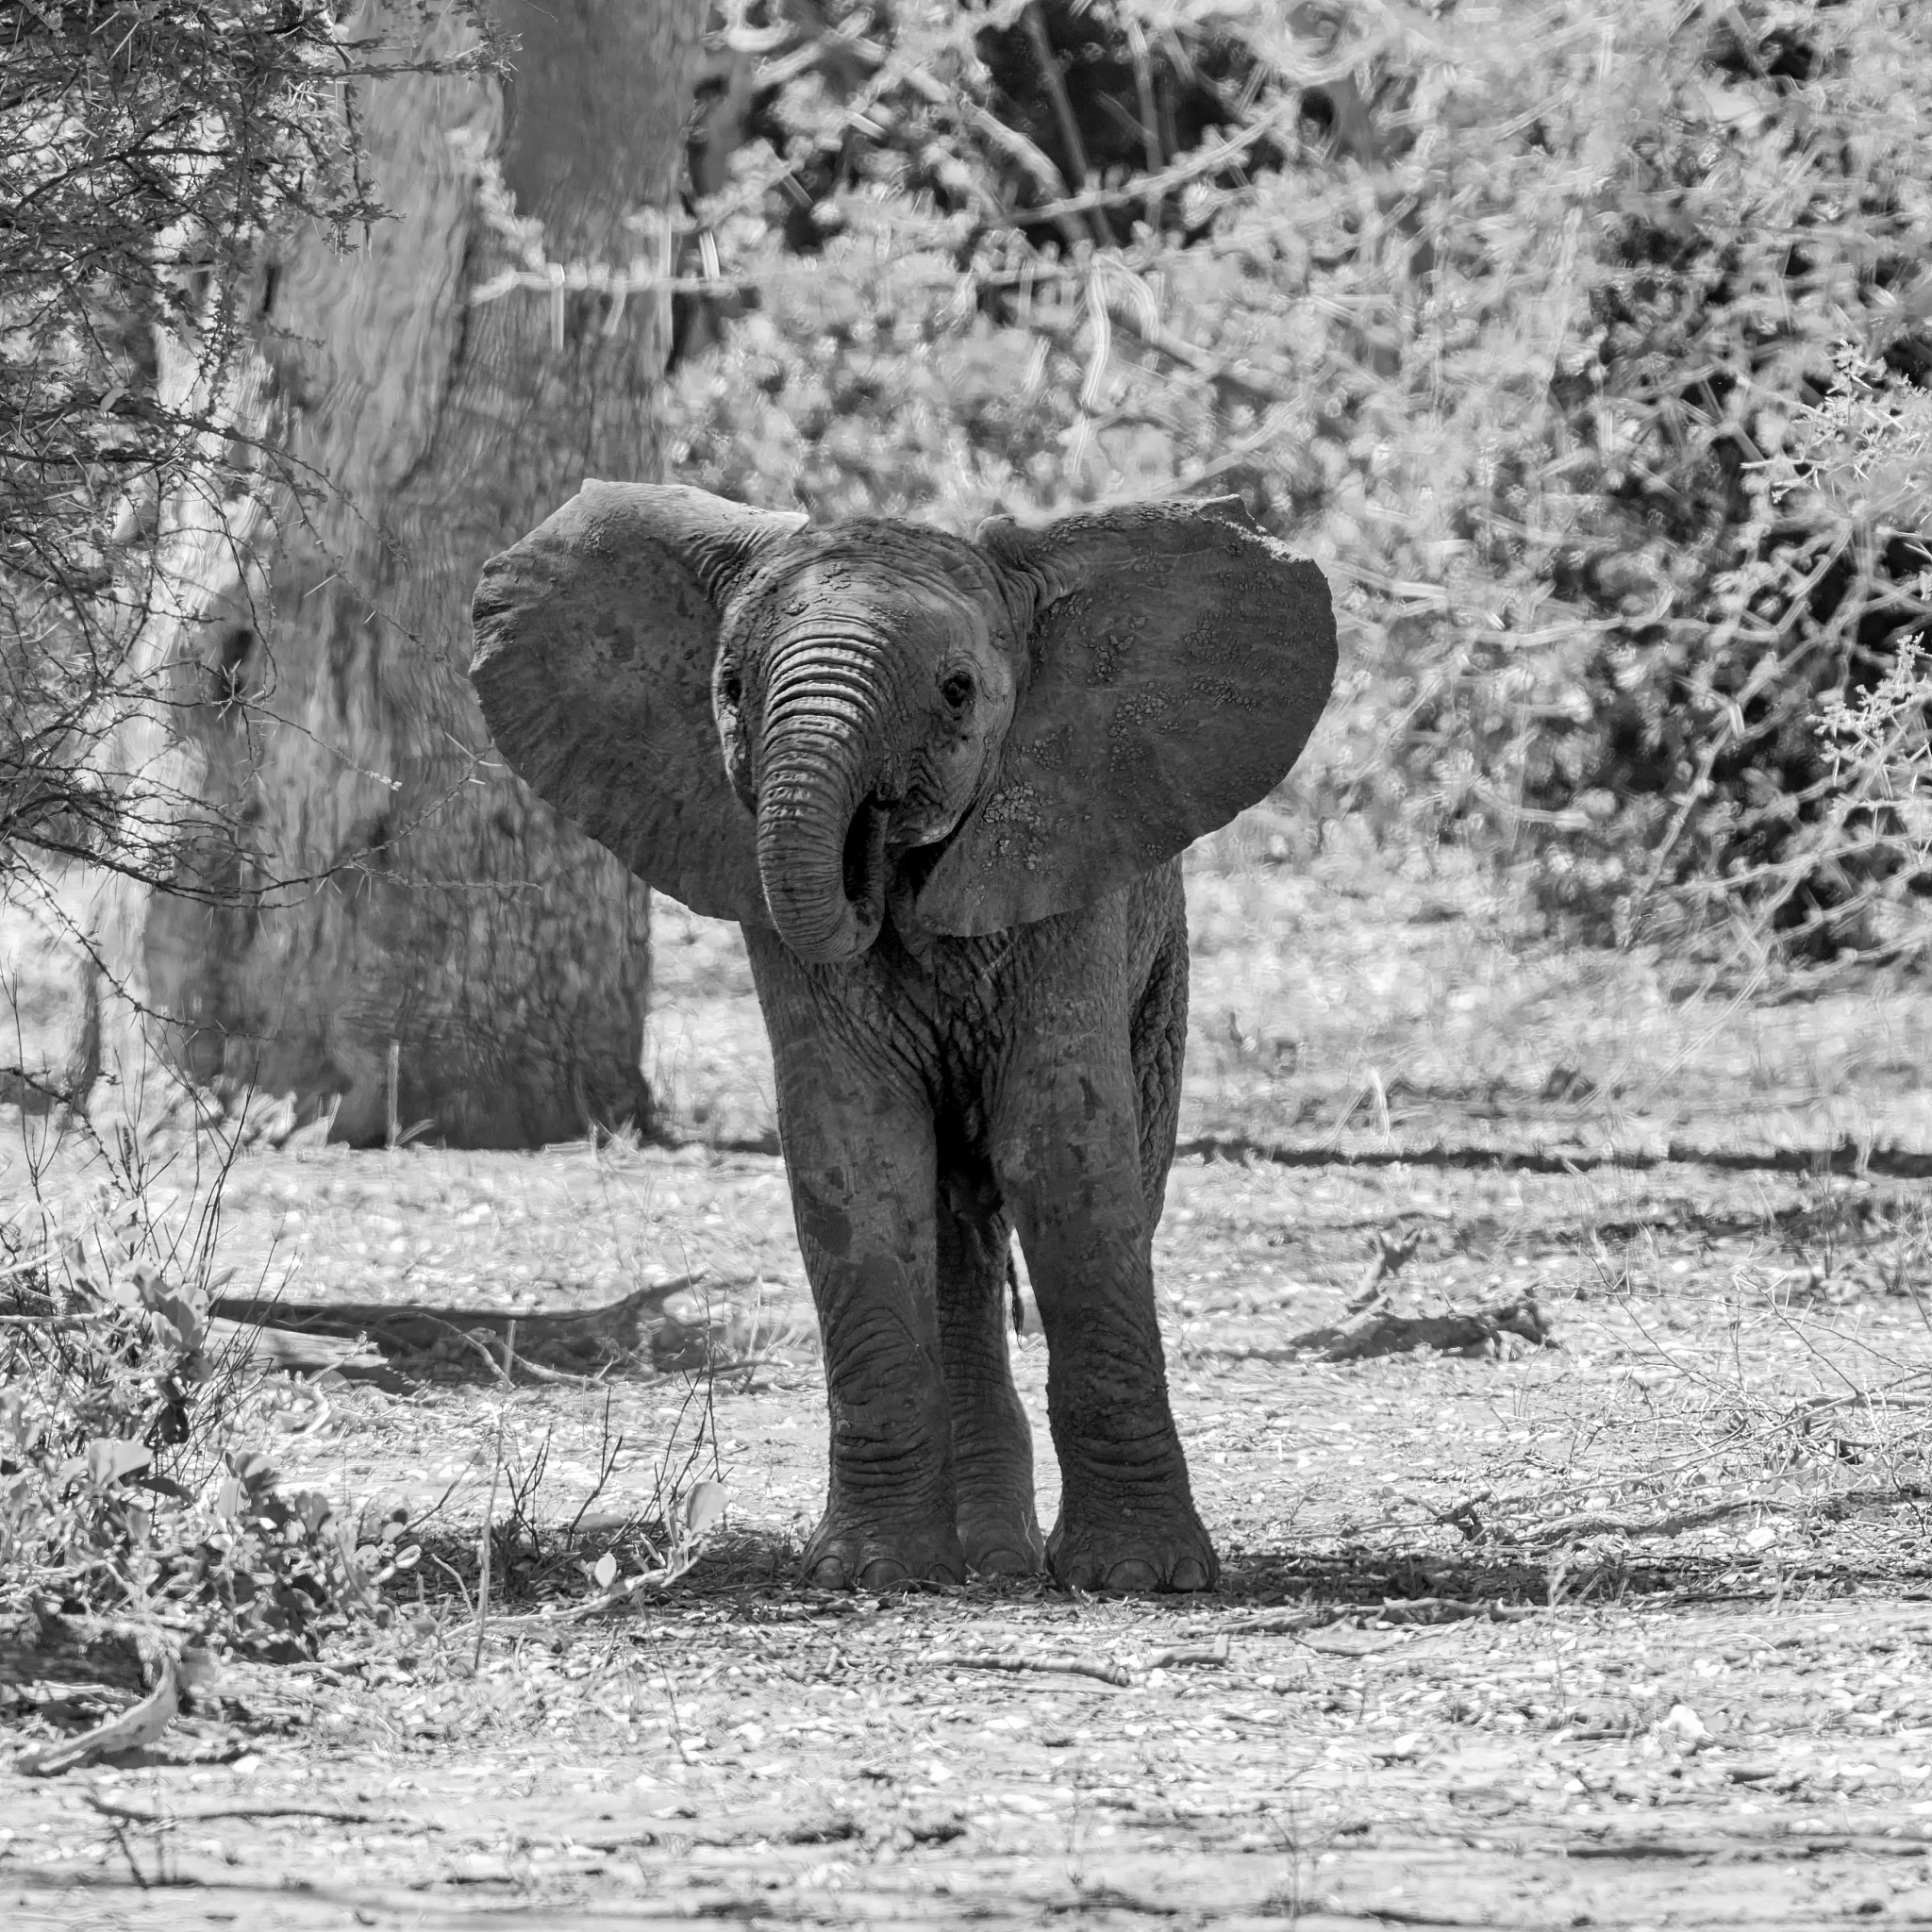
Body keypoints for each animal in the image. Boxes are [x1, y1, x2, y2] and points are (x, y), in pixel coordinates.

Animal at [469, 482, 1336, 1593]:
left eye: (960, 692)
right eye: (731, 687)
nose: (873, 854)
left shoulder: (1071, 873)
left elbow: (1062, 1151)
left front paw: (1139, 1577)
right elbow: (857, 1155)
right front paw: (870, 1571)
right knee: (952, 1228)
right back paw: (988, 1558)